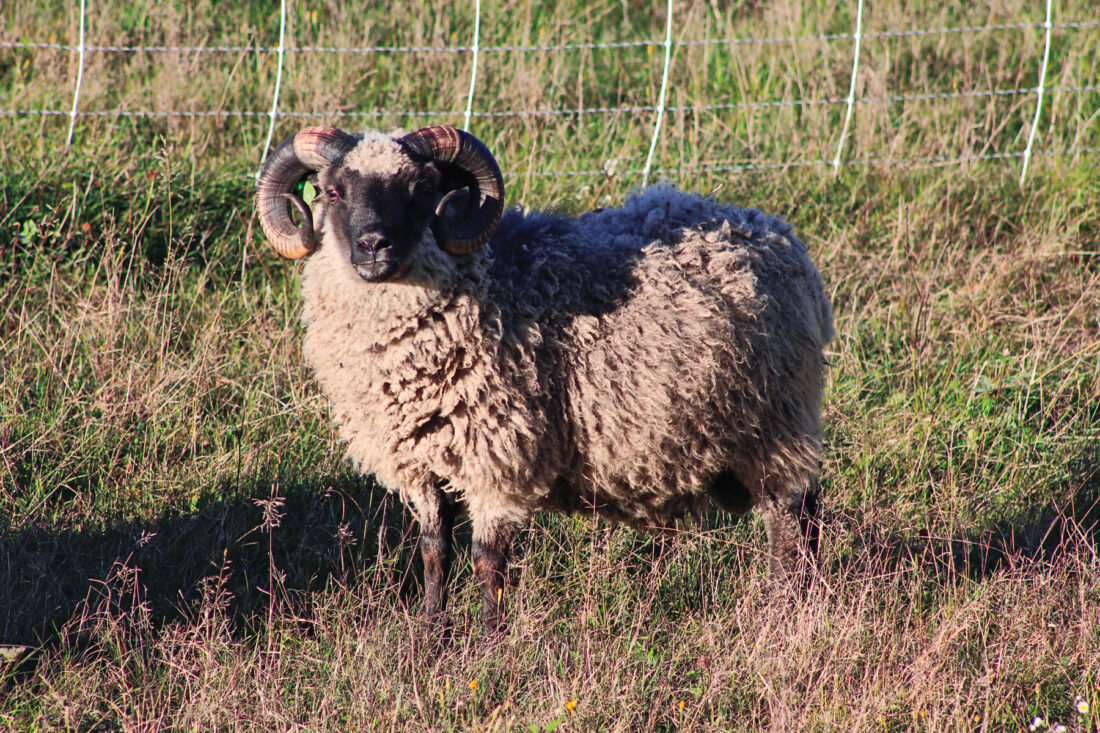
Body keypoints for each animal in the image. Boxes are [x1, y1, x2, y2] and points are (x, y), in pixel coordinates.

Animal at [255, 124, 834, 632]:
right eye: (332, 191)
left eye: (421, 190)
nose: (374, 246)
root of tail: (771, 231)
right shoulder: (421, 464)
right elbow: (434, 552)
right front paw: (429, 636)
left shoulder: (498, 457)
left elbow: (488, 561)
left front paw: (488, 648)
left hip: (776, 423)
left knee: (792, 520)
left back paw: (786, 614)